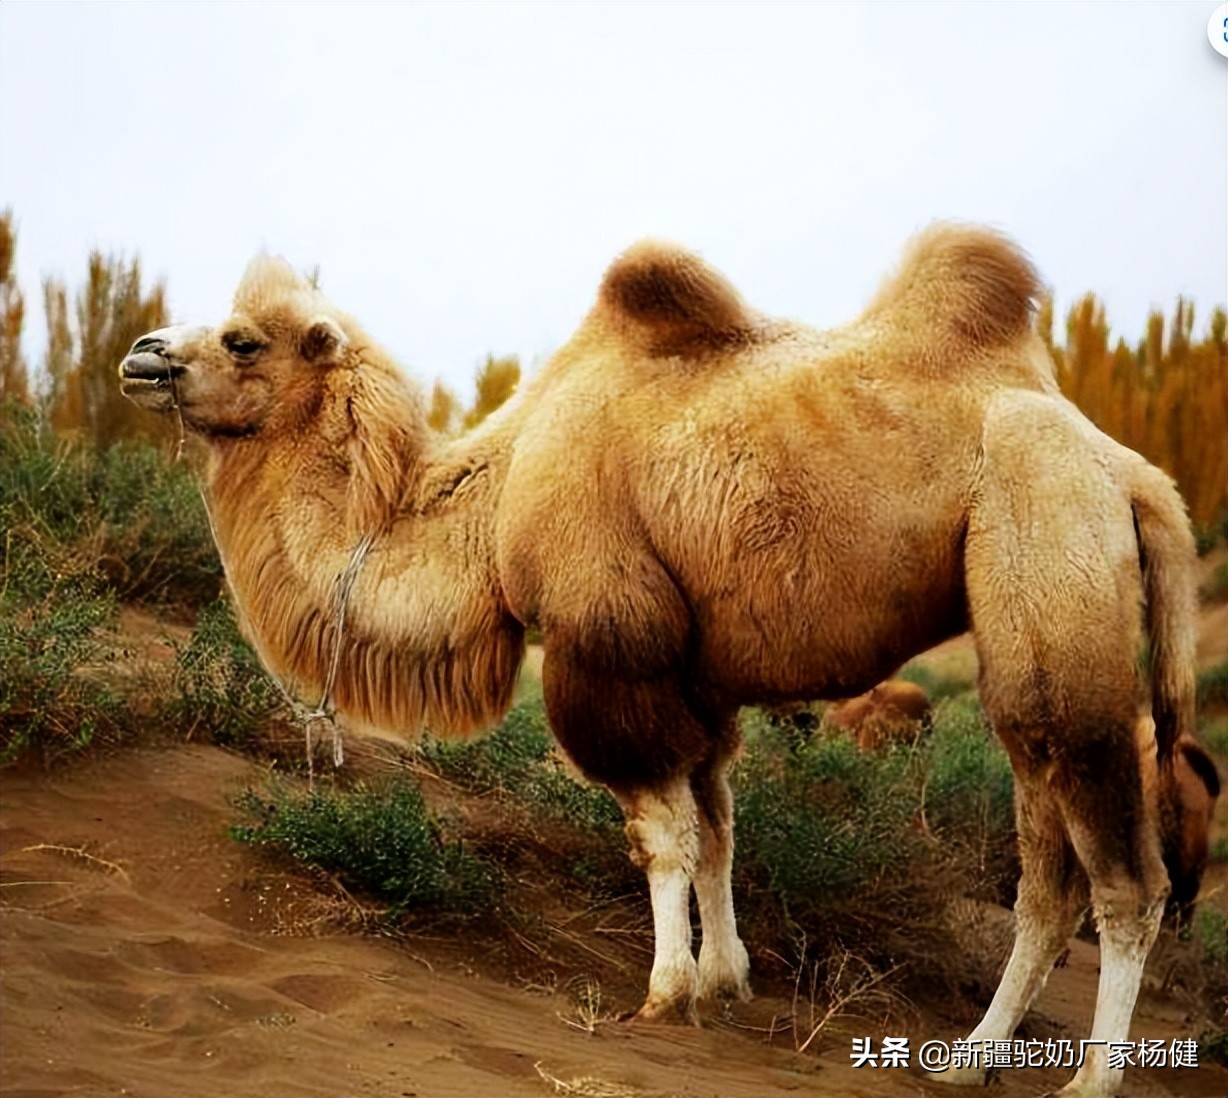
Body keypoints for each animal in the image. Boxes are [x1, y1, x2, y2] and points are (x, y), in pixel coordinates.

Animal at [119, 223, 1202, 1097]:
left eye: (242, 339)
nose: (141, 353)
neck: (495, 499)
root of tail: (1135, 476)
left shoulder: (607, 646)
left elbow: (661, 835)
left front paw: (664, 993)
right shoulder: (695, 676)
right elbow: (718, 824)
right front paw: (727, 978)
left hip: (1049, 556)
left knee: (1122, 877)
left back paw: (1090, 1080)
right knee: (1046, 879)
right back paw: (970, 1059)